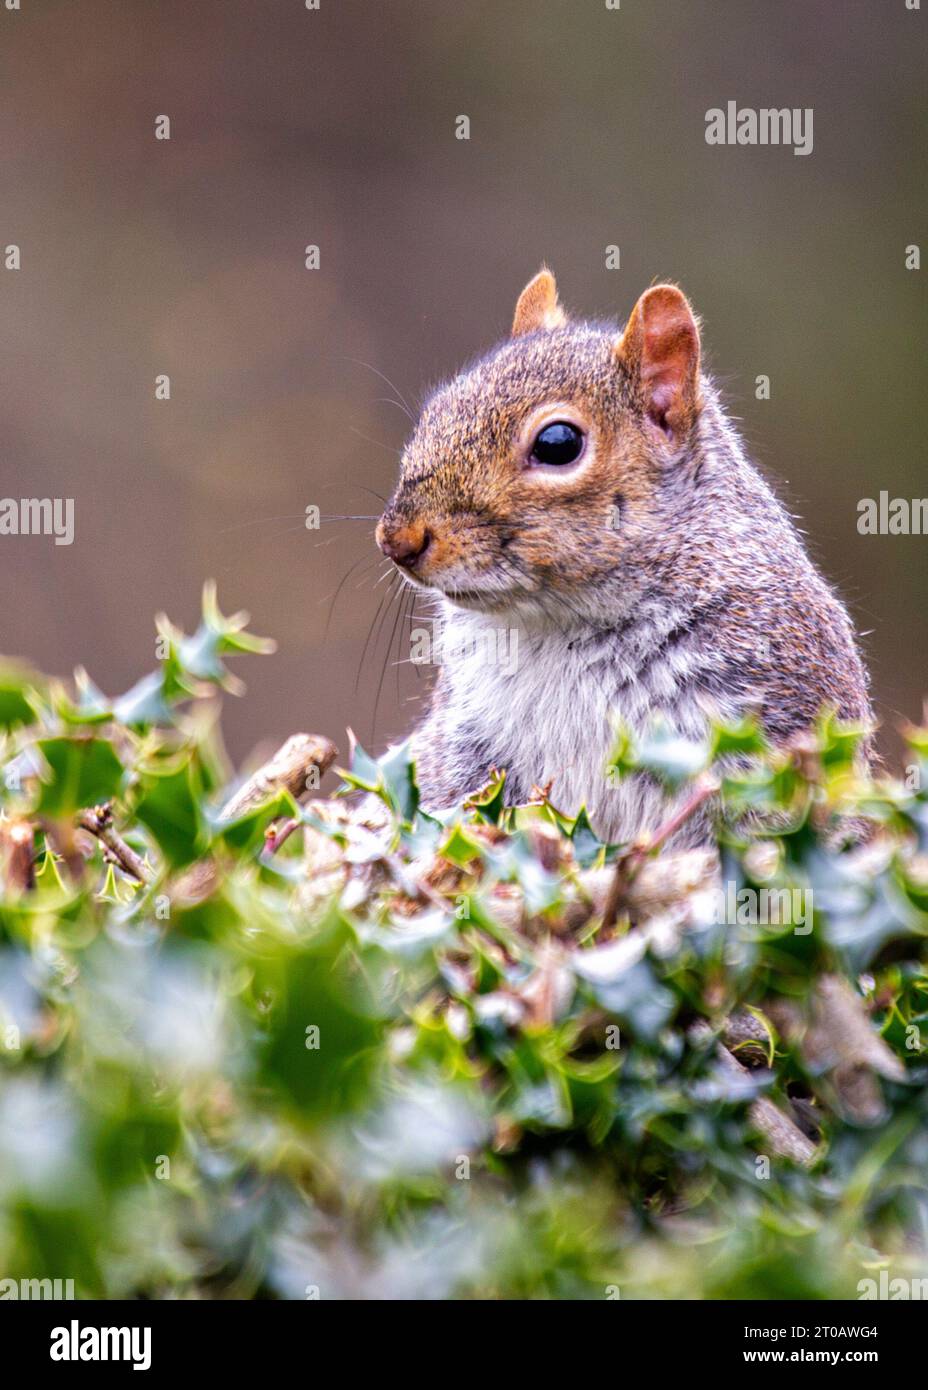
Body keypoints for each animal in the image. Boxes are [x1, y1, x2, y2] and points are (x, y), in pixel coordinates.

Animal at [375, 269, 873, 844]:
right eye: (436, 409)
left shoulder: (778, 725)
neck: (560, 627)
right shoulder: (462, 745)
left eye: (559, 443)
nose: (396, 540)